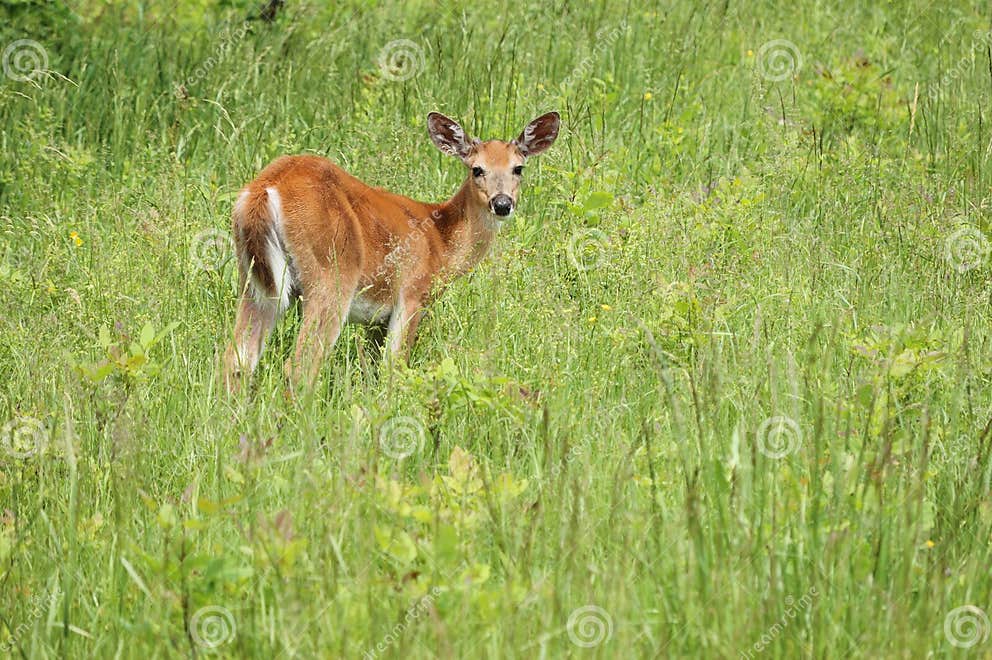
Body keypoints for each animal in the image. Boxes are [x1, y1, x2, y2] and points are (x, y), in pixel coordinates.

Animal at [222, 111, 560, 392]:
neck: (441, 241)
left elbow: (372, 370)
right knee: (300, 366)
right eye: (477, 169)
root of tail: (264, 189)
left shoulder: (377, 317)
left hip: (254, 280)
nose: (502, 203)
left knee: (237, 360)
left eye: (518, 168)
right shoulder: (412, 294)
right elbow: (393, 368)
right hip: (330, 274)